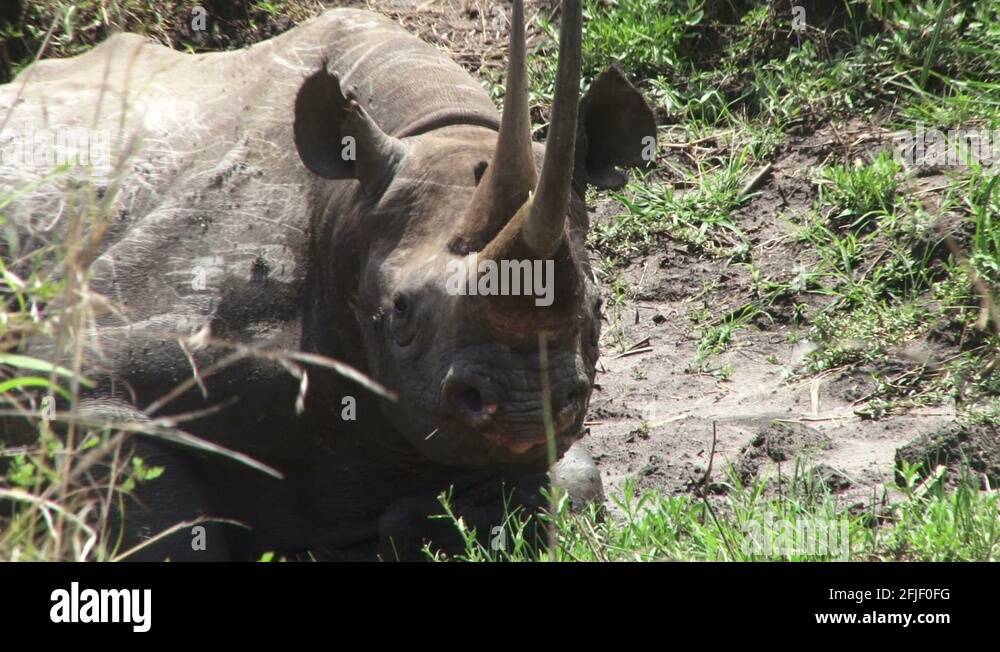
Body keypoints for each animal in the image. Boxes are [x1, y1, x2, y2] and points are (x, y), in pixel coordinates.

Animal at [0, 1, 655, 560]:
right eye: (400, 309)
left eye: (599, 308)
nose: (524, 408)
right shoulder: (87, 361)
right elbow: (161, 520)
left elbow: (569, 482)